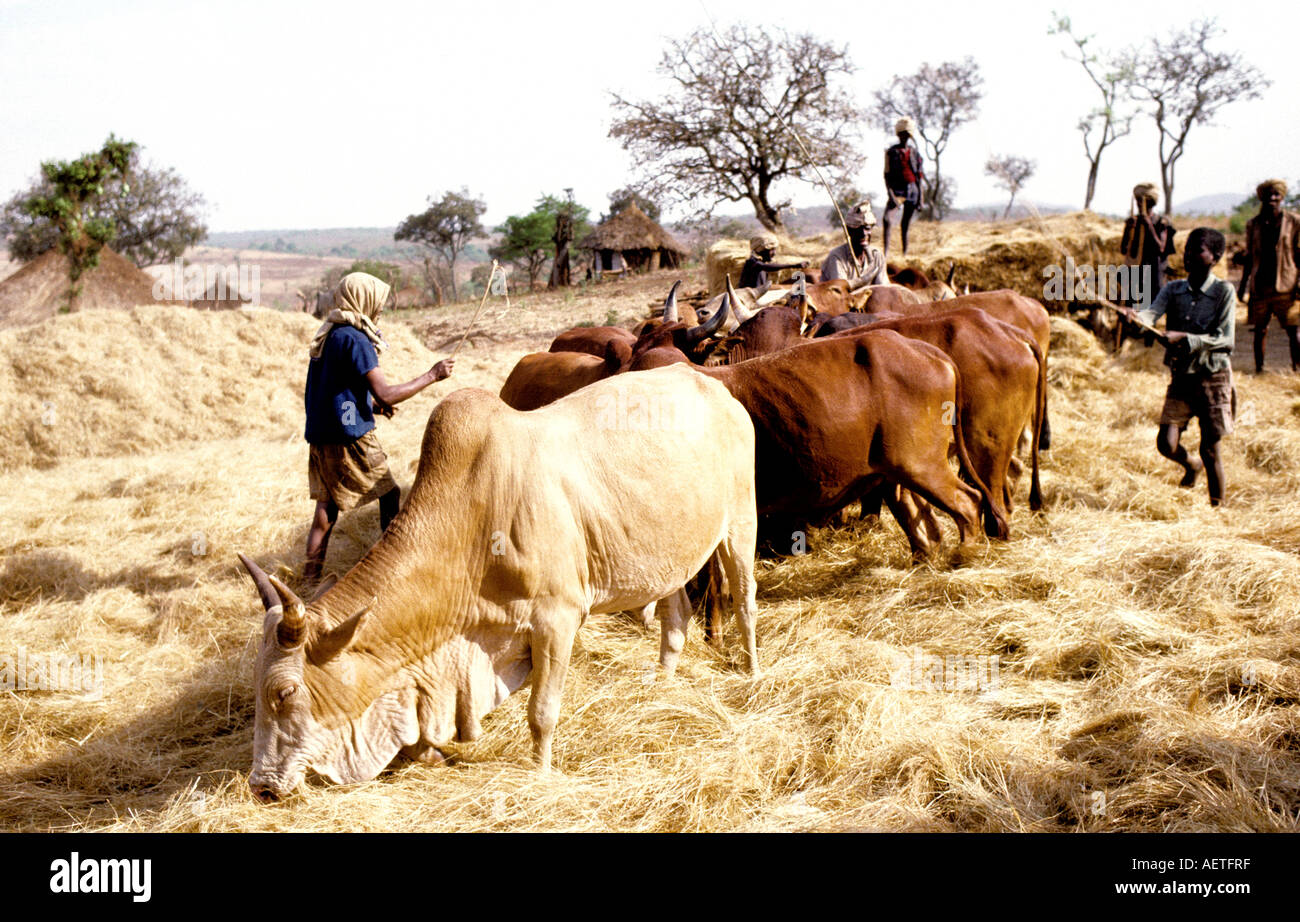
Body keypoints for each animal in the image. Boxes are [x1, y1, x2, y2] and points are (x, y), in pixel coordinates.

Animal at [238, 365, 759, 800]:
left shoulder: (557, 621)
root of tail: (714, 386)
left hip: (740, 523)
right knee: (677, 617)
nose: (262, 786)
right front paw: (438, 754)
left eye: (285, 693)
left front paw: (540, 775)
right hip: (668, 557)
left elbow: (541, 714)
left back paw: (752, 674)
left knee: (745, 602)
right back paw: (662, 682)